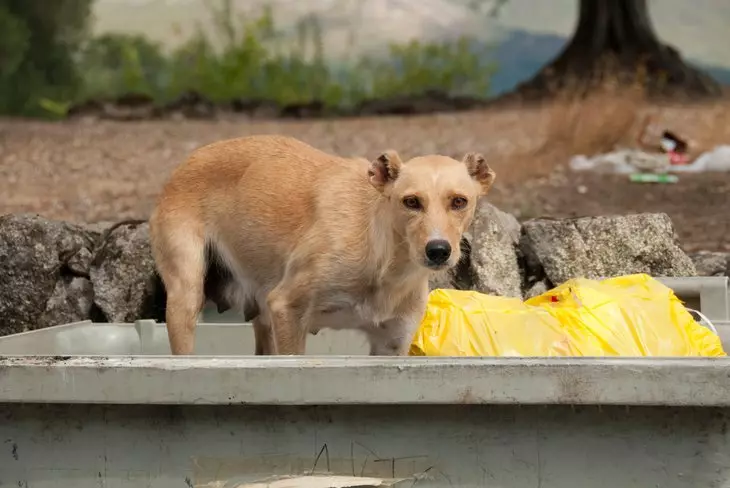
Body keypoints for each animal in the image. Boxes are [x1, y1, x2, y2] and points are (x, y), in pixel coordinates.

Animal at [151, 135, 498, 356]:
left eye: (459, 201)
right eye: (411, 202)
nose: (438, 250)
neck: (382, 258)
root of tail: (185, 163)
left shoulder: (392, 343)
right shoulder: (287, 310)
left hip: (262, 320)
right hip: (186, 298)